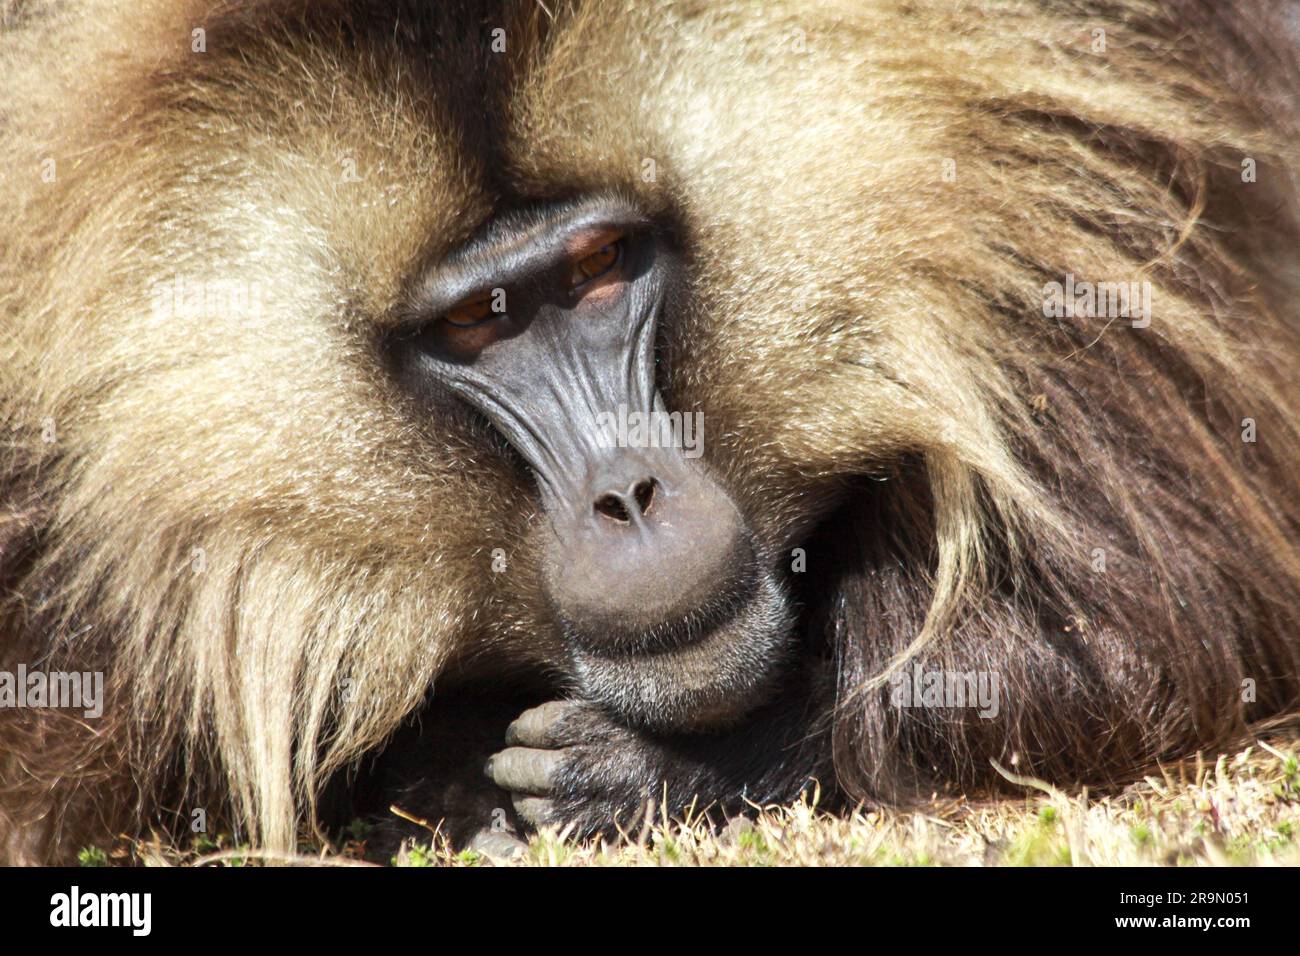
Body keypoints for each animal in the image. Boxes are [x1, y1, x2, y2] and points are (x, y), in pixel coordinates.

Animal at [1, 0, 1298, 865]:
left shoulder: (1072, 224)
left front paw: (644, 770)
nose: (627, 497)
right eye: (479, 319)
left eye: (598, 265)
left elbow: (1145, 636)